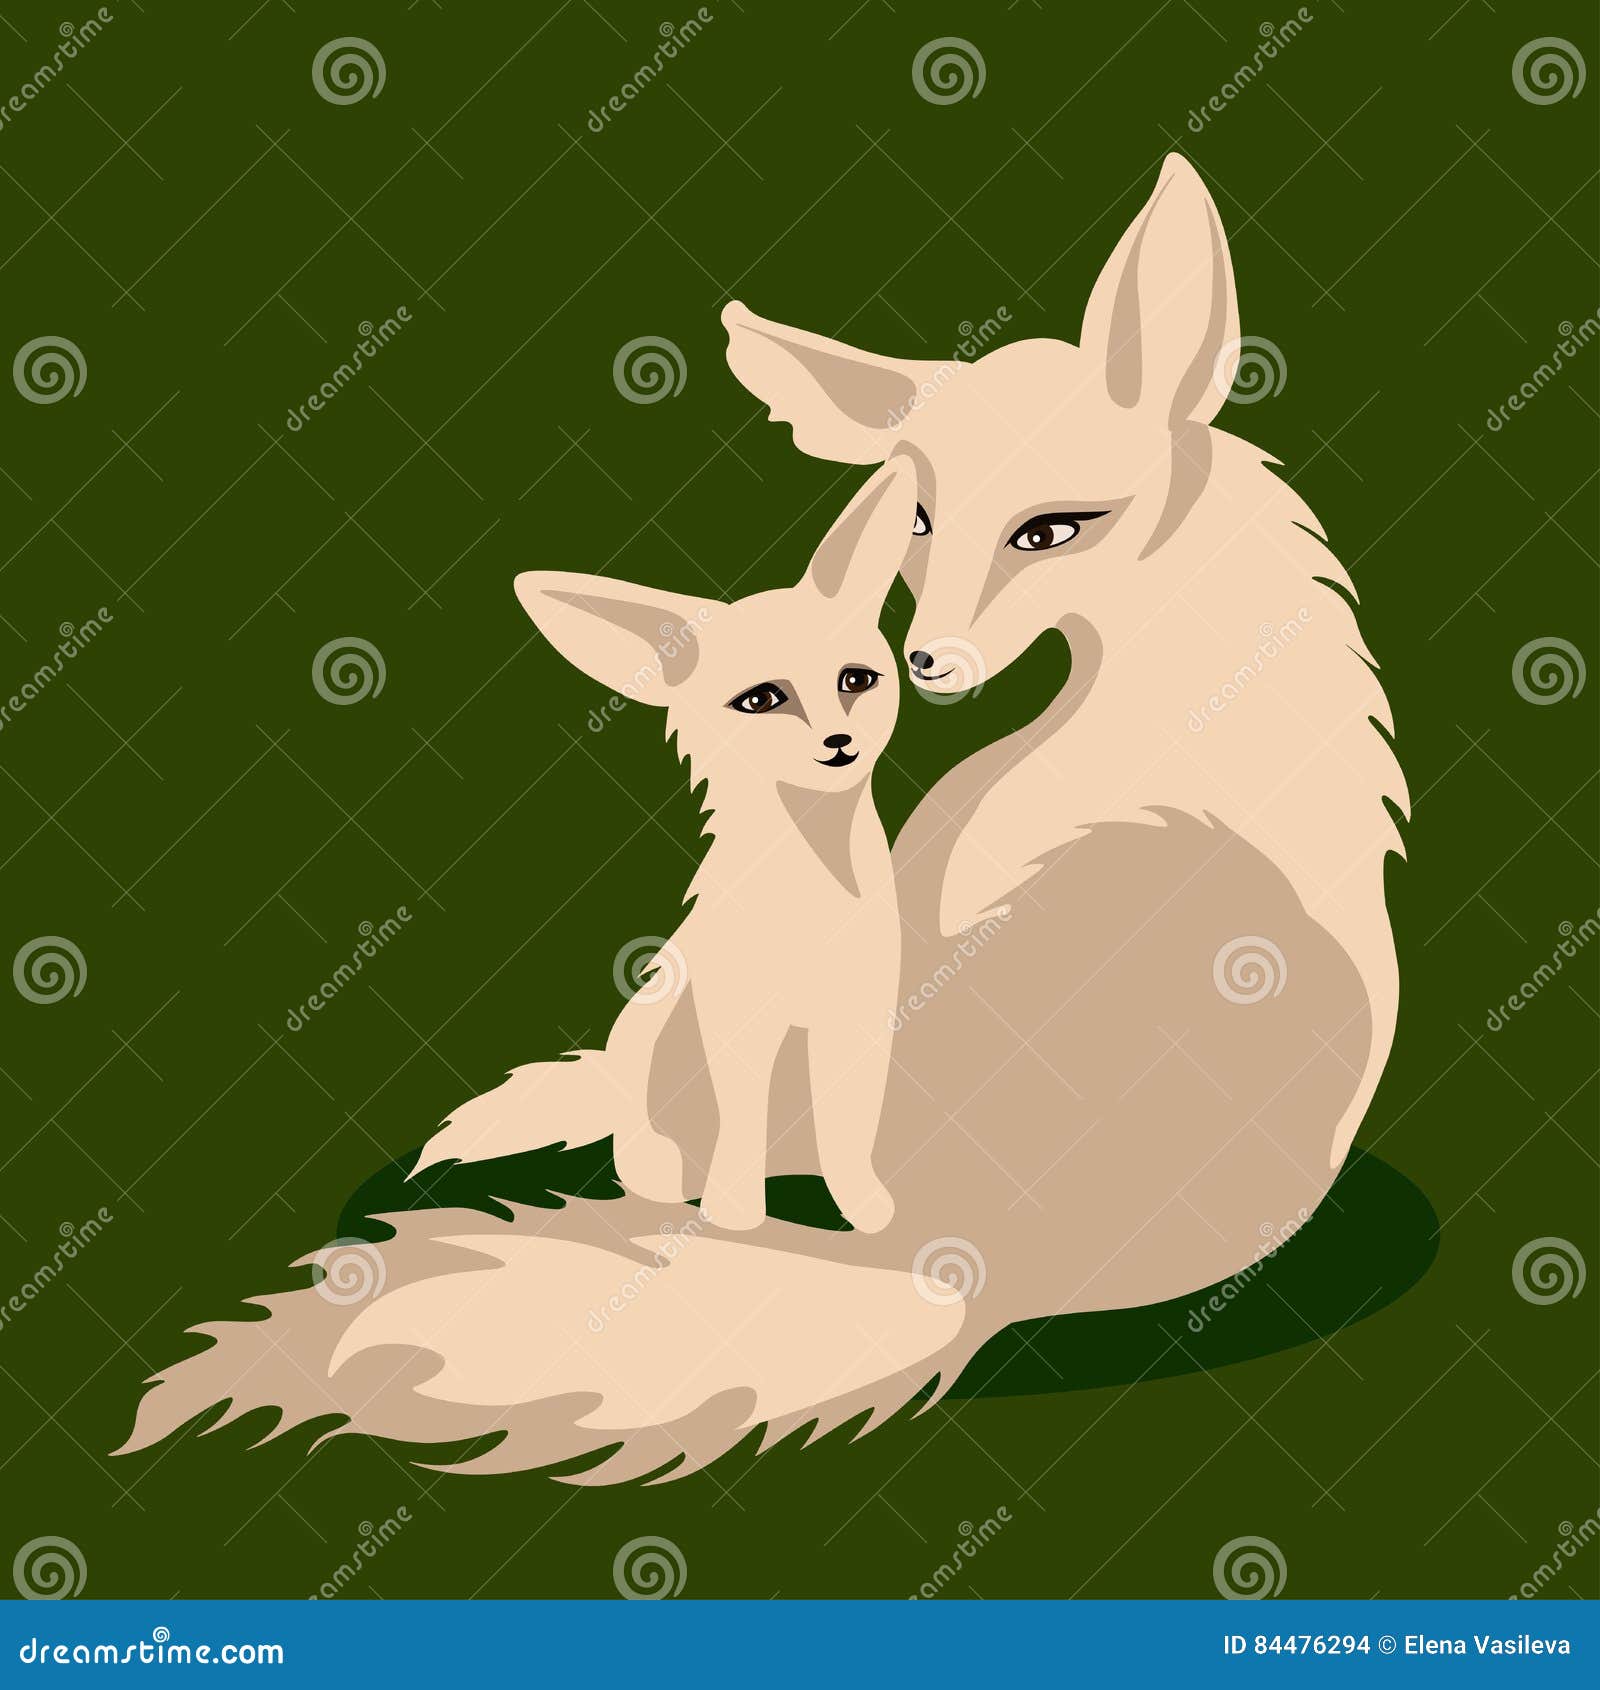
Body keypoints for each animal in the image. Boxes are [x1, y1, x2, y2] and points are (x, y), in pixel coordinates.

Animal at [410, 460, 914, 1235]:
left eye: (856, 681)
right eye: (762, 701)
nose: (840, 741)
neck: (813, 882)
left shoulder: (856, 1021)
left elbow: (850, 1130)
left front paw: (865, 1210)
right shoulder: (740, 1027)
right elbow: (743, 1123)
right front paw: (736, 1215)